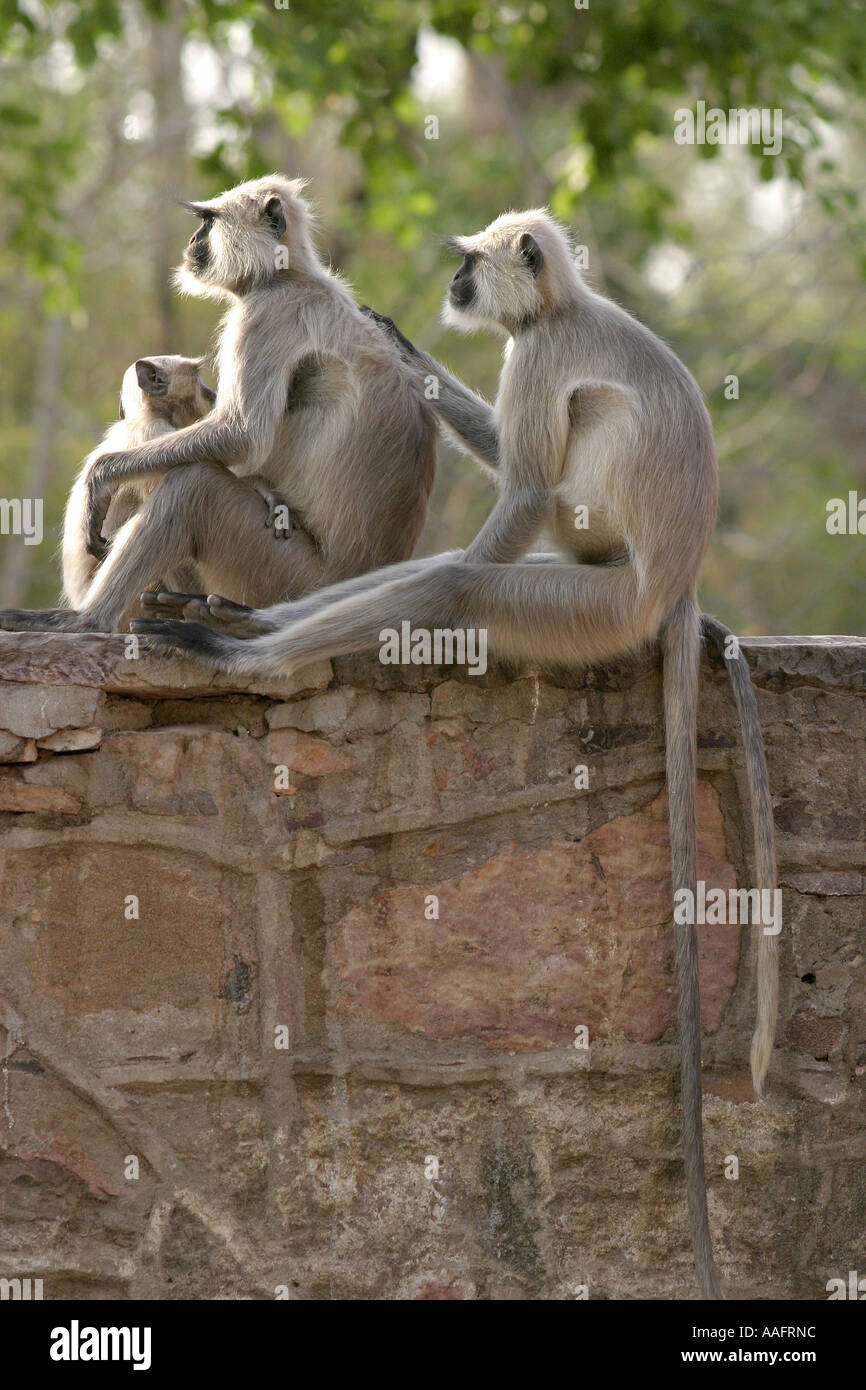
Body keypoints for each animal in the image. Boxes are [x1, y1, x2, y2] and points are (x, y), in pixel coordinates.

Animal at [0, 175, 436, 633]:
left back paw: (86, 621)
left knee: (194, 485)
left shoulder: (264, 313)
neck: (289, 276)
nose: (193, 239)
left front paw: (100, 476)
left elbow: (241, 436)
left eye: (208, 222)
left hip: (288, 579)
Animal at [134, 207, 778, 1301]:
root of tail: (673, 587)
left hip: (587, 610)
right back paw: (247, 622)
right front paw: (401, 350)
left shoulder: (541, 354)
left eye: (472, 261)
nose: (453, 282)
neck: (562, 306)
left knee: (455, 583)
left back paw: (246, 648)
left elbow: (516, 501)